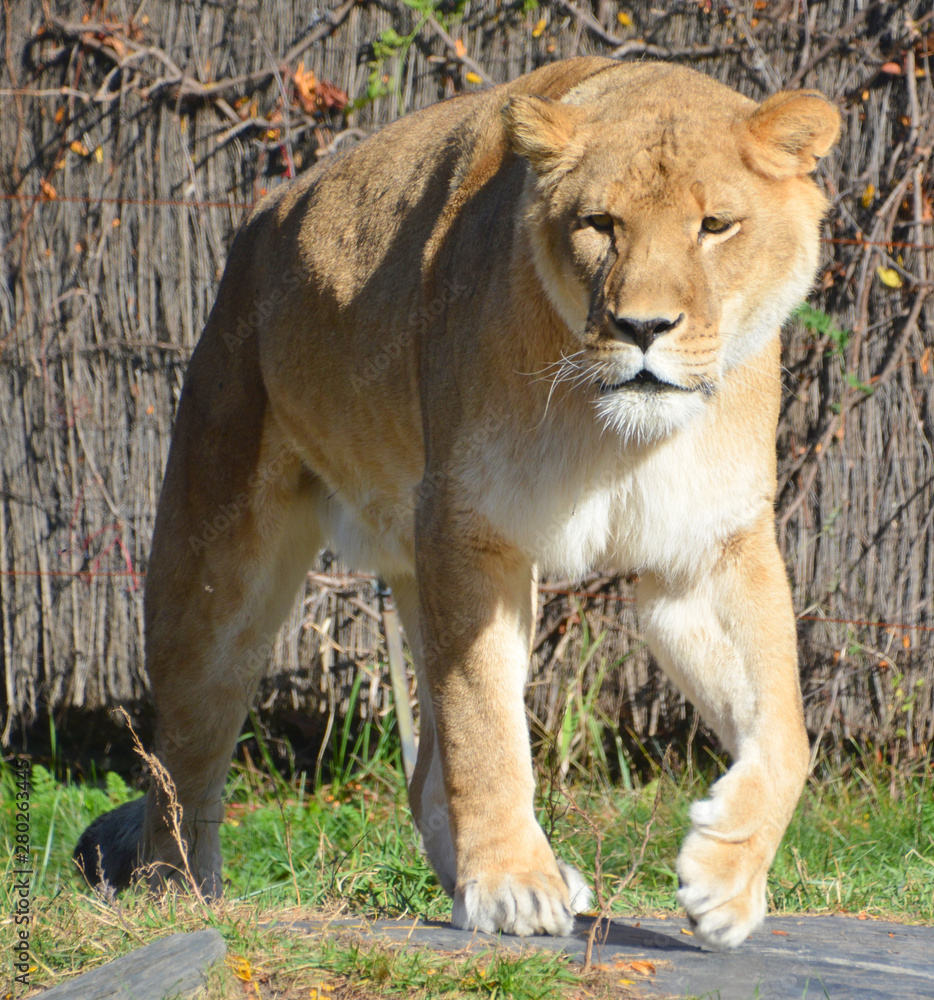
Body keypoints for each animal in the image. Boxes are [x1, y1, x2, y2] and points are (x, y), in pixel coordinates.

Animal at [75, 57, 840, 949]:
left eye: (716, 225)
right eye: (599, 224)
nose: (643, 327)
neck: (614, 434)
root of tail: (263, 218)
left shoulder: (709, 549)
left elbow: (786, 729)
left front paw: (726, 879)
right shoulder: (470, 527)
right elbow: (485, 726)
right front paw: (510, 887)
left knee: (418, 778)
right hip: (218, 564)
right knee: (182, 753)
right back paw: (177, 891)